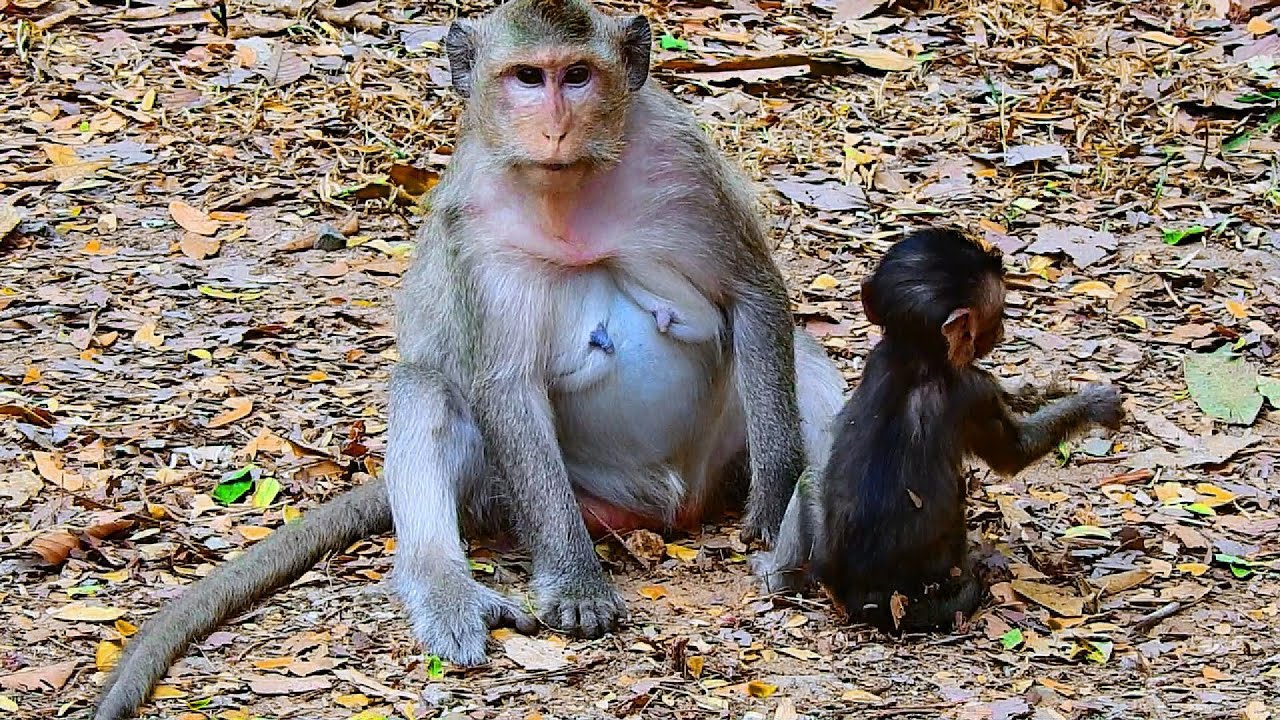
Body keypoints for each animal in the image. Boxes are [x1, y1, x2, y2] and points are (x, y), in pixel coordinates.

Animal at [94, 2, 847, 718]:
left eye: (577, 75)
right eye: (527, 78)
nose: (555, 130)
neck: (571, 194)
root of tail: (677, 508)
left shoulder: (686, 166)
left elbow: (754, 298)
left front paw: (775, 504)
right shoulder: (475, 228)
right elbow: (505, 384)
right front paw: (575, 583)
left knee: (801, 355)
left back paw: (806, 522)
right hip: (512, 493)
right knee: (424, 387)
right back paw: (446, 588)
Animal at [754, 227, 1123, 632]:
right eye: (996, 318)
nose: (1003, 330)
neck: (916, 355)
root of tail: (858, 598)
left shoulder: (878, 357)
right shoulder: (972, 389)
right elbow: (1013, 453)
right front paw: (1093, 403)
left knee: (810, 480)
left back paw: (776, 577)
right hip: (932, 599)